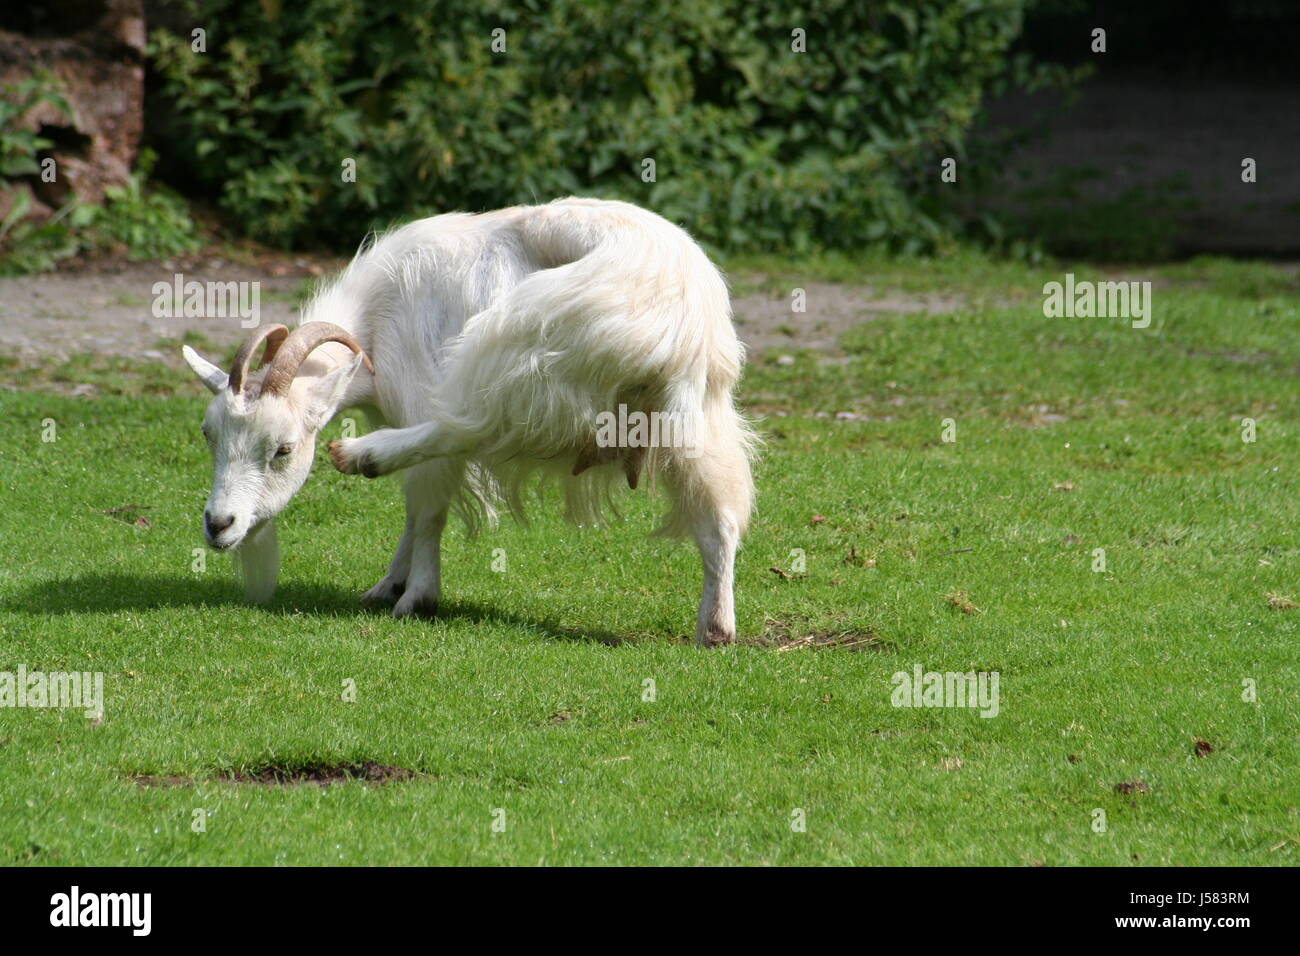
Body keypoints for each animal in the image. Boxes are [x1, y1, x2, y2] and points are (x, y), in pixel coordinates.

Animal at [182, 197, 757, 645]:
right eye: (208, 436)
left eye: (283, 449)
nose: (219, 525)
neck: (374, 330)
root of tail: (681, 324)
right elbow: (414, 511)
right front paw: (387, 585)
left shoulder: (418, 395)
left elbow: (427, 507)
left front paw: (416, 596)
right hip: (697, 416)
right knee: (720, 513)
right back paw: (715, 627)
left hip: (522, 344)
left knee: (466, 424)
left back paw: (365, 454)